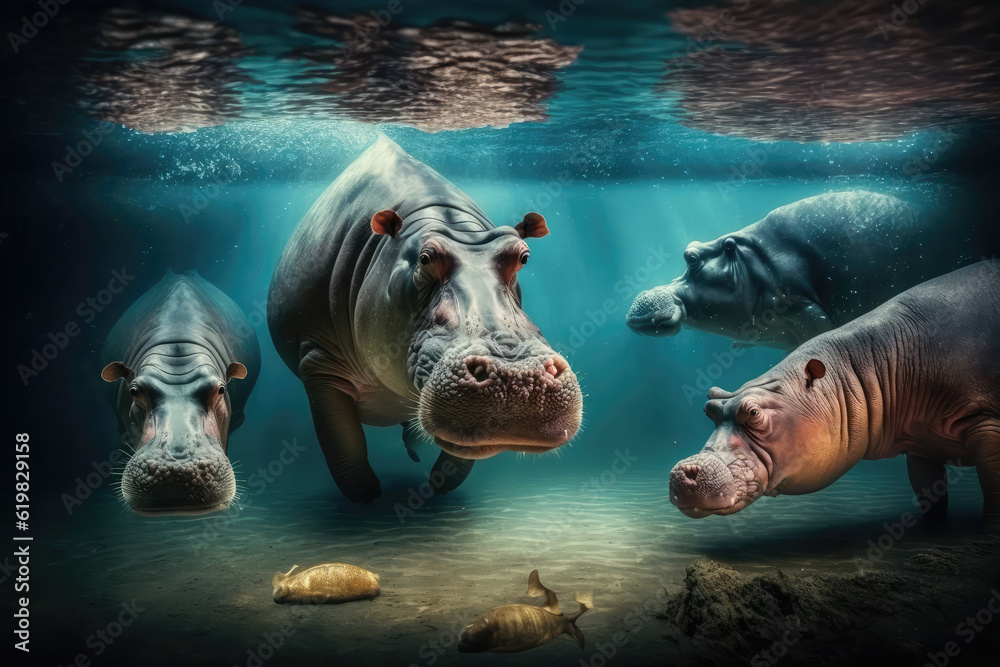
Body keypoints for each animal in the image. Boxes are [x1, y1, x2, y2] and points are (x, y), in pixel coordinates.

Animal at [267, 136, 582, 503]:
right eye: (425, 258)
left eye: (523, 257)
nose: (518, 376)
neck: (442, 217)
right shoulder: (319, 360)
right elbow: (343, 441)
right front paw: (368, 496)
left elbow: (460, 457)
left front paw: (436, 485)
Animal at [668, 260, 1000, 523]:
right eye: (709, 408)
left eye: (753, 412)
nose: (683, 470)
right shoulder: (920, 447)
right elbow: (929, 494)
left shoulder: (987, 424)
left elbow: (992, 488)